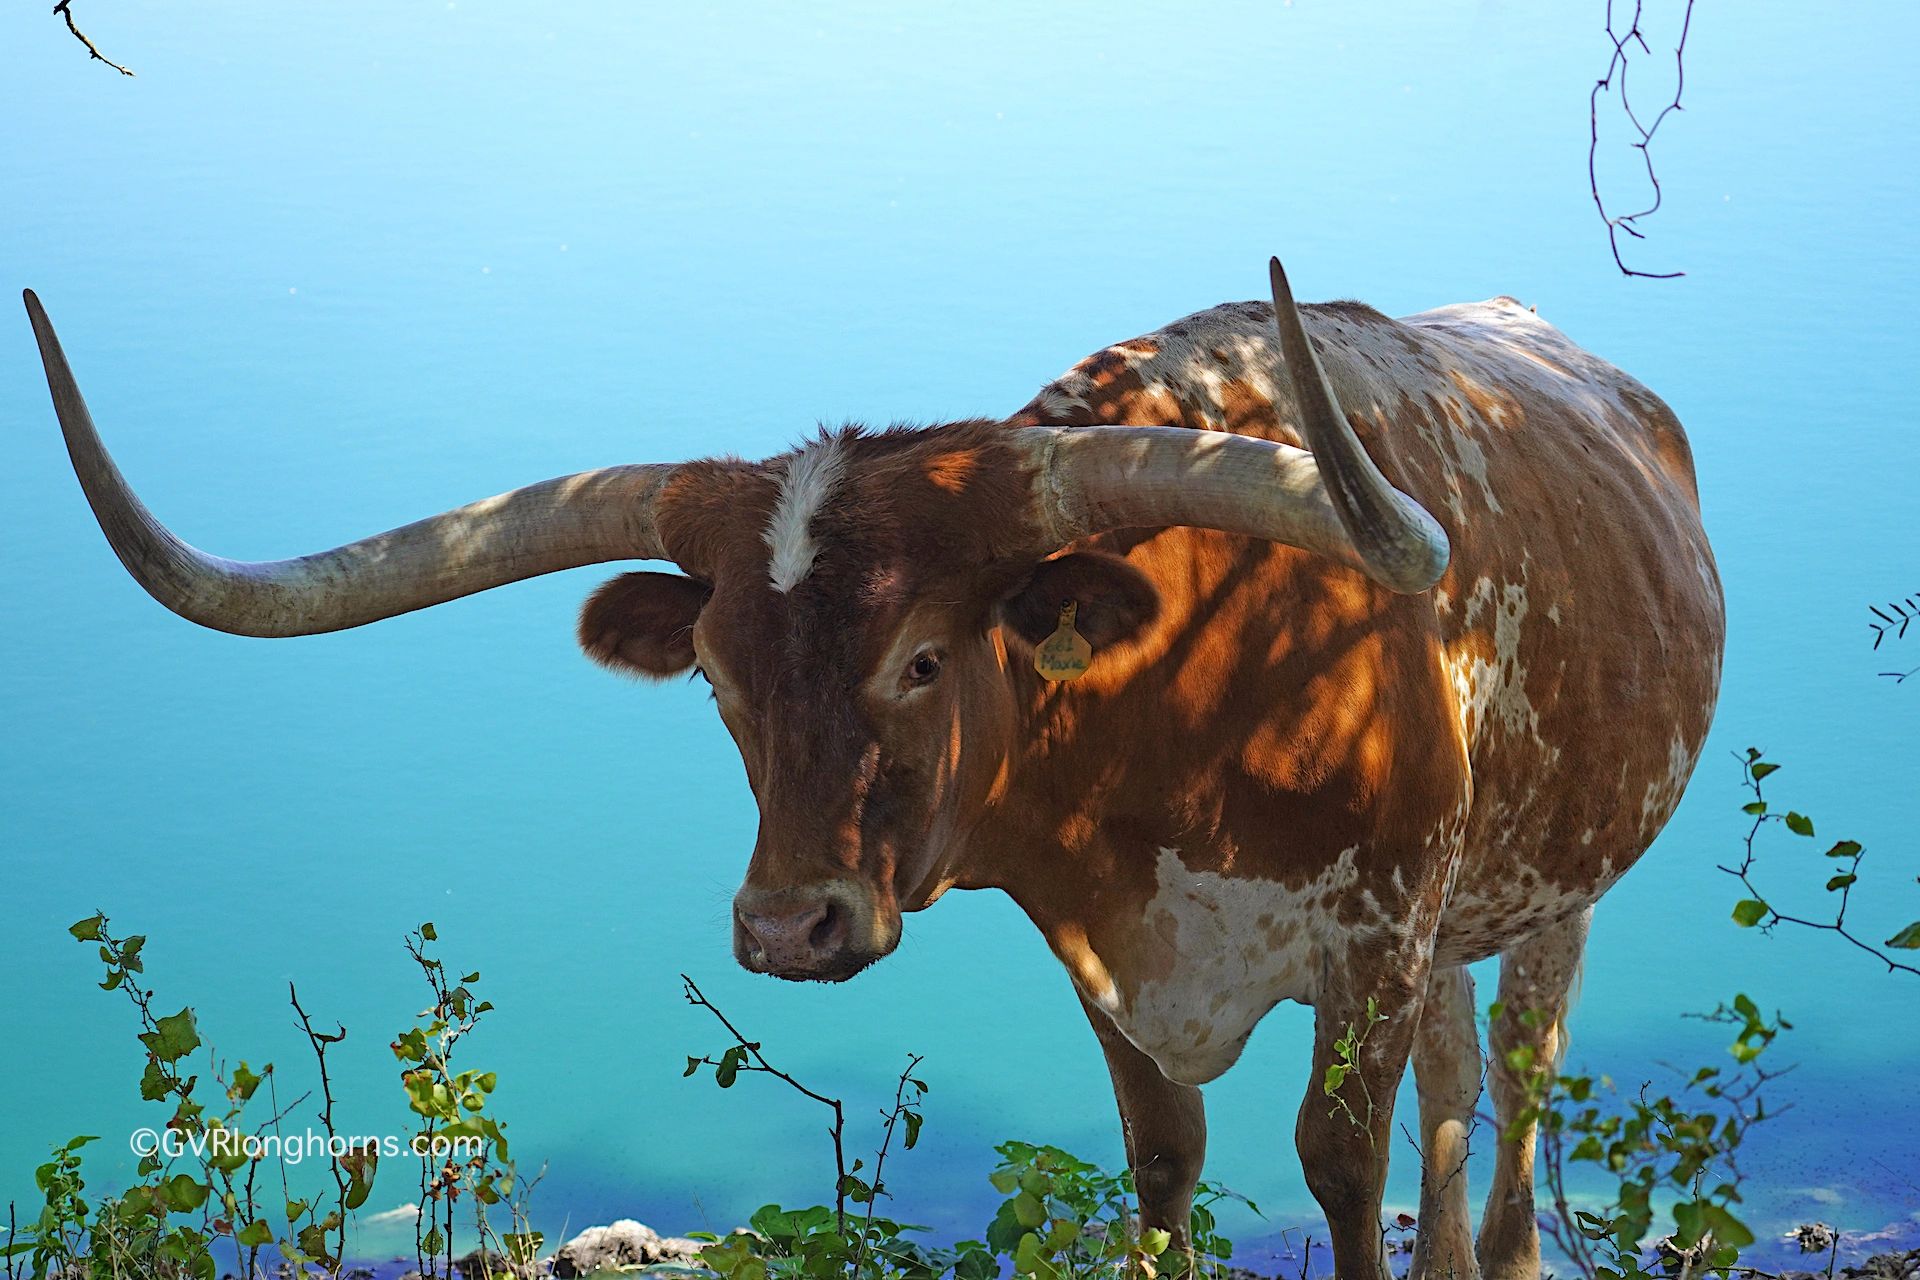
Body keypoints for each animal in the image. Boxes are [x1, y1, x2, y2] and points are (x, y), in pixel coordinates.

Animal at [24, 258, 1723, 1280]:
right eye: (716, 676)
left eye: (920, 658)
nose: (791, 927)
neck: (1194, 672)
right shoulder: (1116, 966)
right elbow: (1165, 1160)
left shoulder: (1370, 933)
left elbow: (1341, 1163)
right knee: (1457, 1089)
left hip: (1545, 897)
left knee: (1513, 1094)